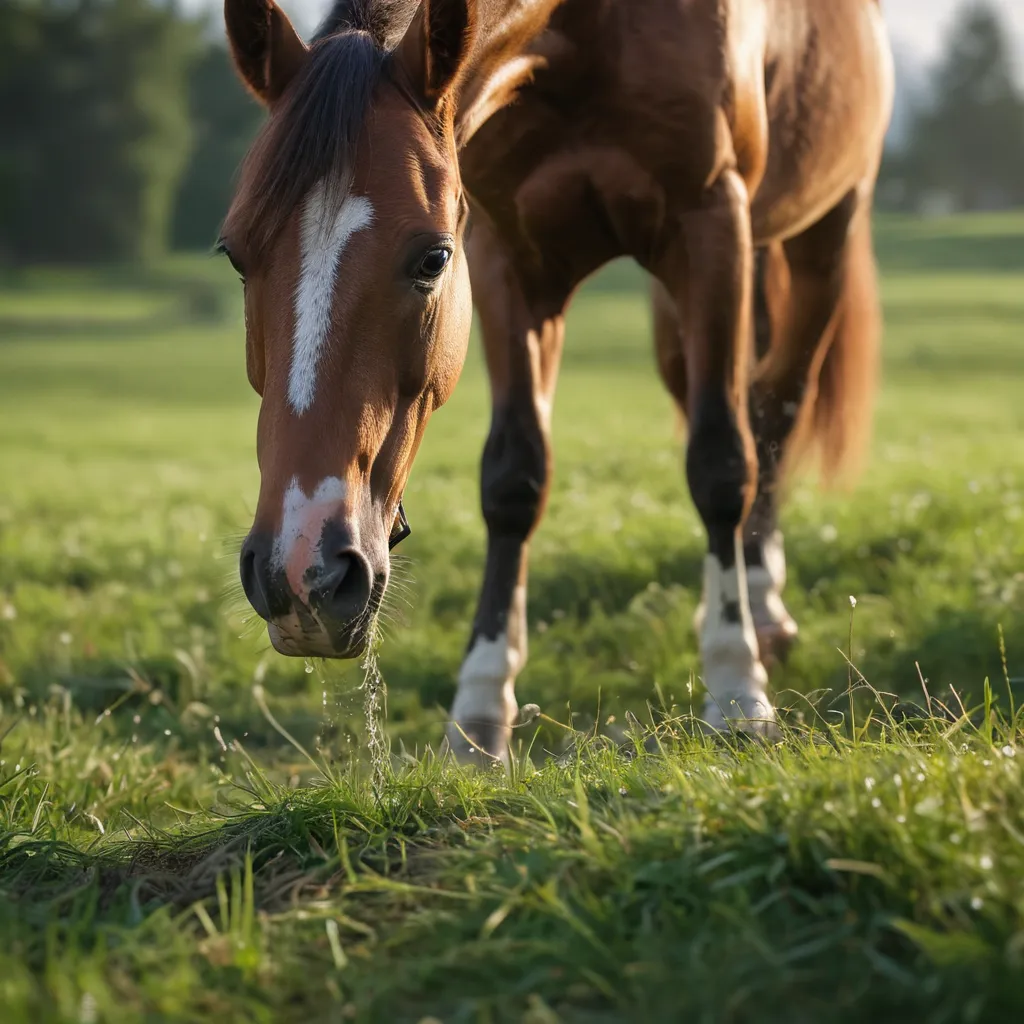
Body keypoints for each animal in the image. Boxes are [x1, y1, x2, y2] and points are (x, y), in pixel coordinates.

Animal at [219, 0, 893, 764]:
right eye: (235, 254)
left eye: (432, 258)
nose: (302, 571)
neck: (592, 30)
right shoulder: (510, 258)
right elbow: (514, 479)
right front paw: (479, 712)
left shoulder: (712, 227)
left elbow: (722, 464)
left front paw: (737, 692)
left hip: (822, 238)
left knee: (774, 410)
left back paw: (763, 606)